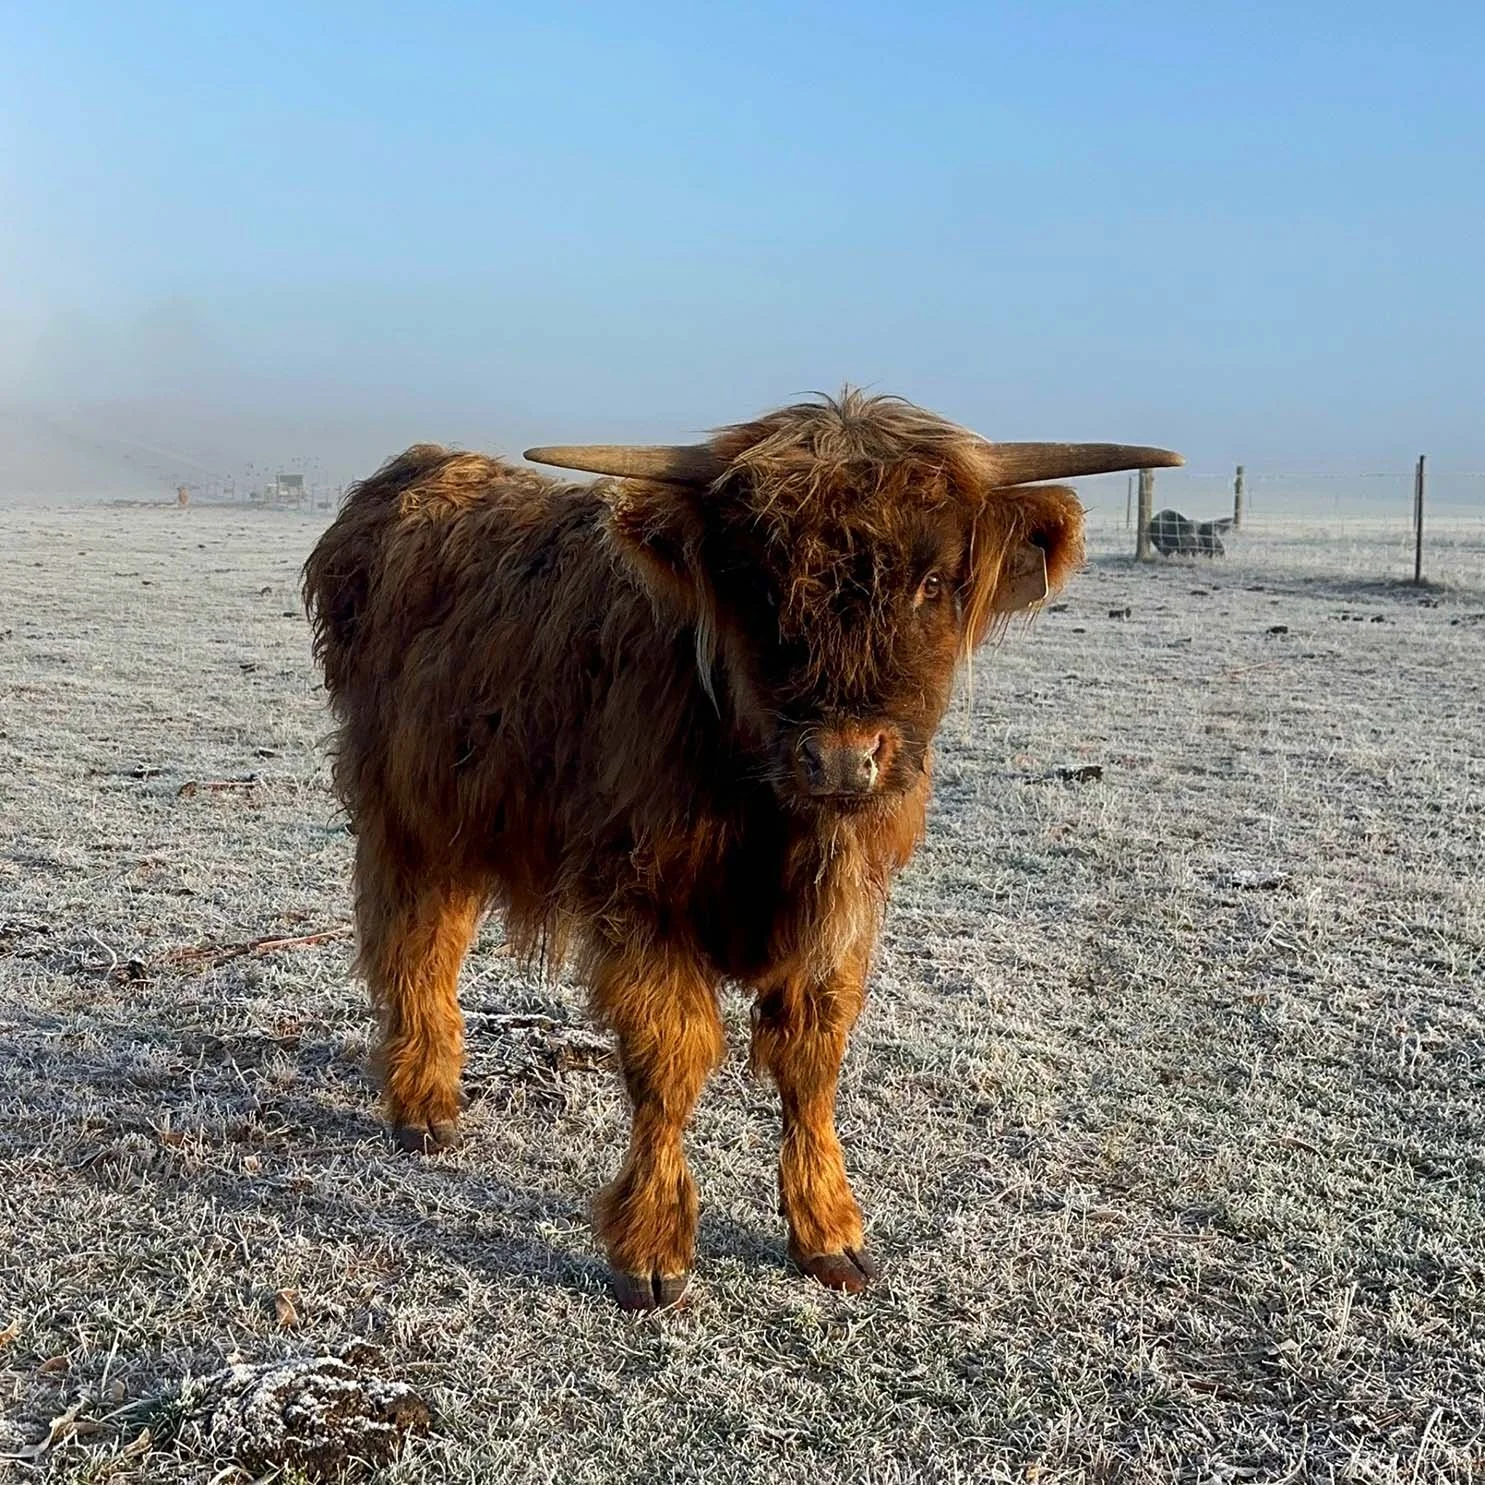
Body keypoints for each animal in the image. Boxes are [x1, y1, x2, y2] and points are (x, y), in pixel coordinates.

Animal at [302, 390, 1181, 1310]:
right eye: (759, 585)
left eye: (933, 581)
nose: (842, 756)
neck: (771, 815)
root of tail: (417, 465)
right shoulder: (639, 894)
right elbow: (669, 1058)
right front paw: (652, 1248)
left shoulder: (845, 910)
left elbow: (812, 1060)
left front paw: (828, 1230)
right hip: (404, 809)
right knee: (416, 943)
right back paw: (422, 1105)